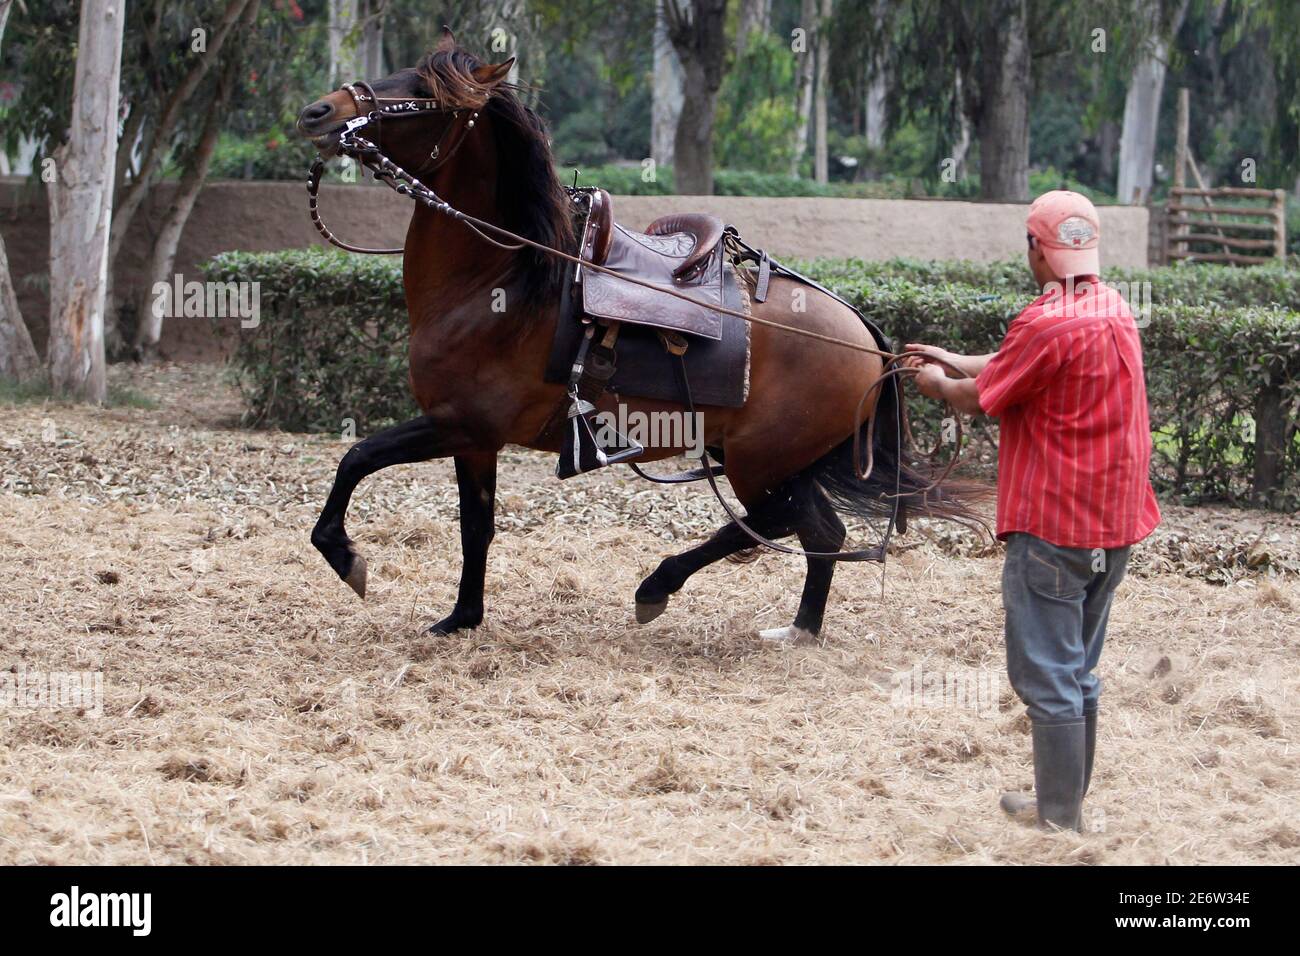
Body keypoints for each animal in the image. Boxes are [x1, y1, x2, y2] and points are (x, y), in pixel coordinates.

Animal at [295, 30, 981, 643]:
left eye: (422, 92)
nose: (319, 111)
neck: (504, 278)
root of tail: (864, 332)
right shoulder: (474, 439)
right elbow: (475, 527)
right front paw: (462, 618)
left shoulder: (457, 422)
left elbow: (356, 458)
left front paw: (345, 556)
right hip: (773, 458)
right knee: (819, 531)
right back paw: (801, 628)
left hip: (761, 461)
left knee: (783, 521)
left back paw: (661, 585)